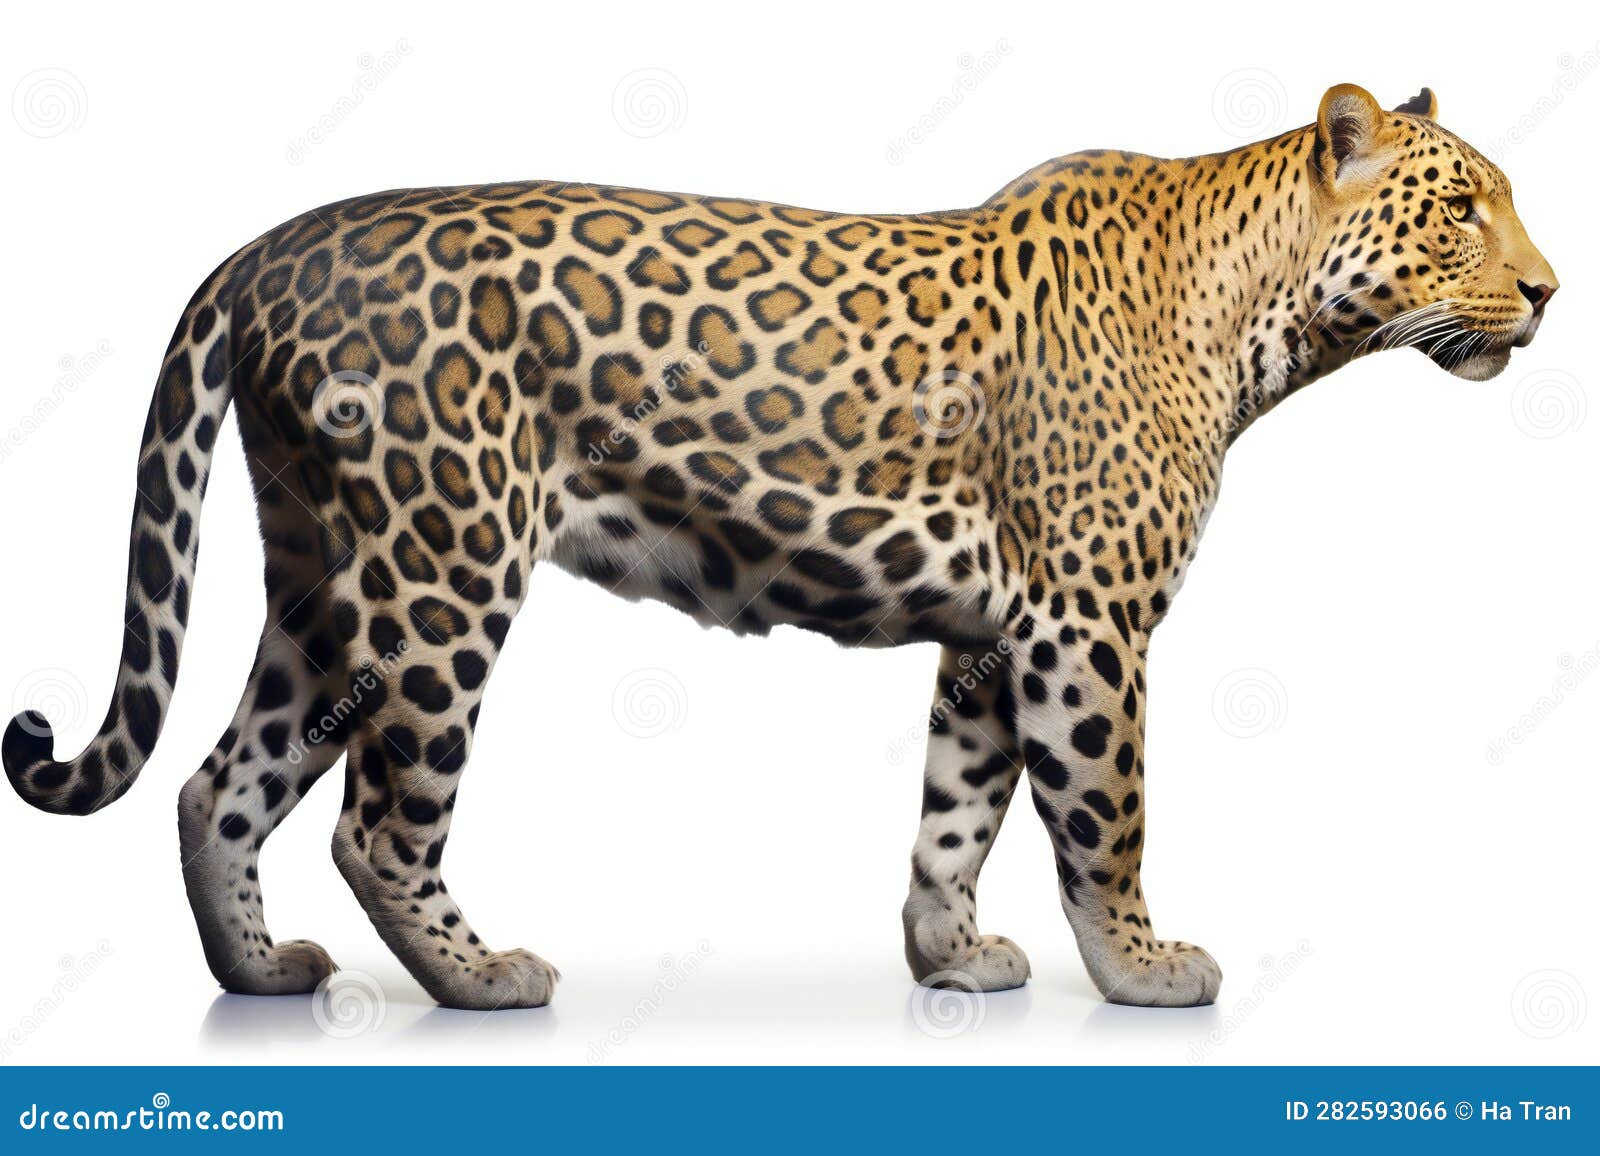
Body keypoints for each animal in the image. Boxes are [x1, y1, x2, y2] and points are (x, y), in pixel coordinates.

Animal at [4, 84, 1557, 1011]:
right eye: (1459, 208)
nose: (1548, 290)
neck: (1261, 319)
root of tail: (264, 249)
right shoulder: (1086, 621)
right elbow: (1106, 811)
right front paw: (1142, 969)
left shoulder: (994, 634)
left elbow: (957, 811)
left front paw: (953, 959)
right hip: (444, 569)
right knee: (378, 821)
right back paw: (484, 979)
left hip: (330, 580)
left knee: (218, 784)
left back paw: (262, 975)